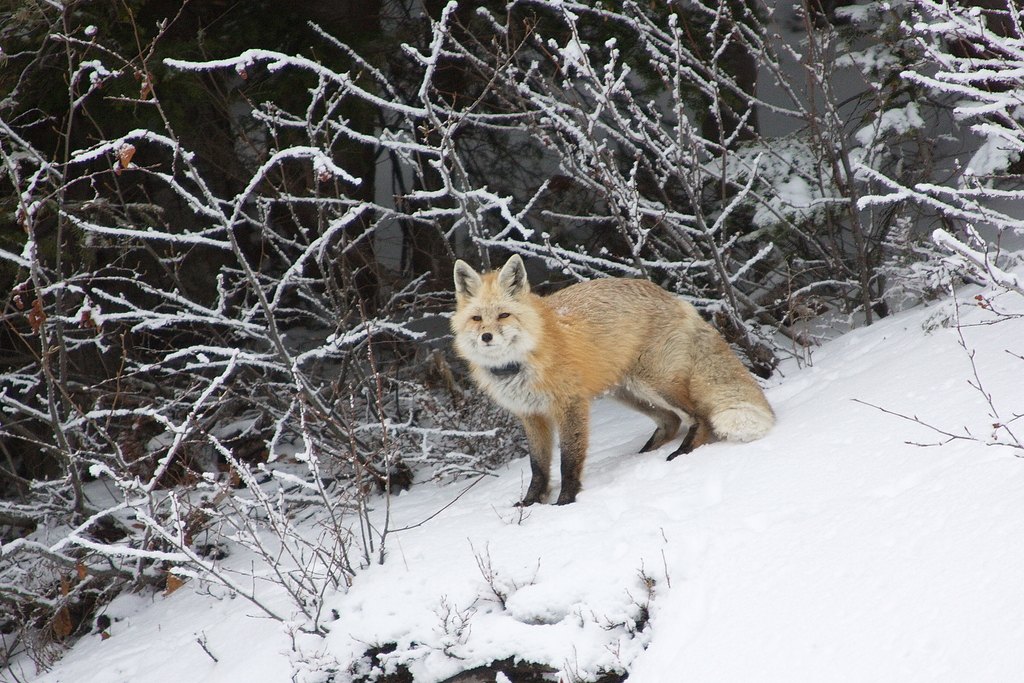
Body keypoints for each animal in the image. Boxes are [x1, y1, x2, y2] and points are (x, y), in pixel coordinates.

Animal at [451, 254, 775, 506]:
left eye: (504, 315)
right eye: (477, 319)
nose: (486, 336)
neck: (522, 361)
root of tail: (670, 296)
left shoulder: (570, 405)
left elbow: (569, 460)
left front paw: (565, 501)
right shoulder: (531, 415)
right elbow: (538, 467)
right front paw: (530, 503)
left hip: (654, 383)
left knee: (699, 416)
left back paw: (682, 452)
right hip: (627, 392)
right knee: (670, 421)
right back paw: (642, 456)